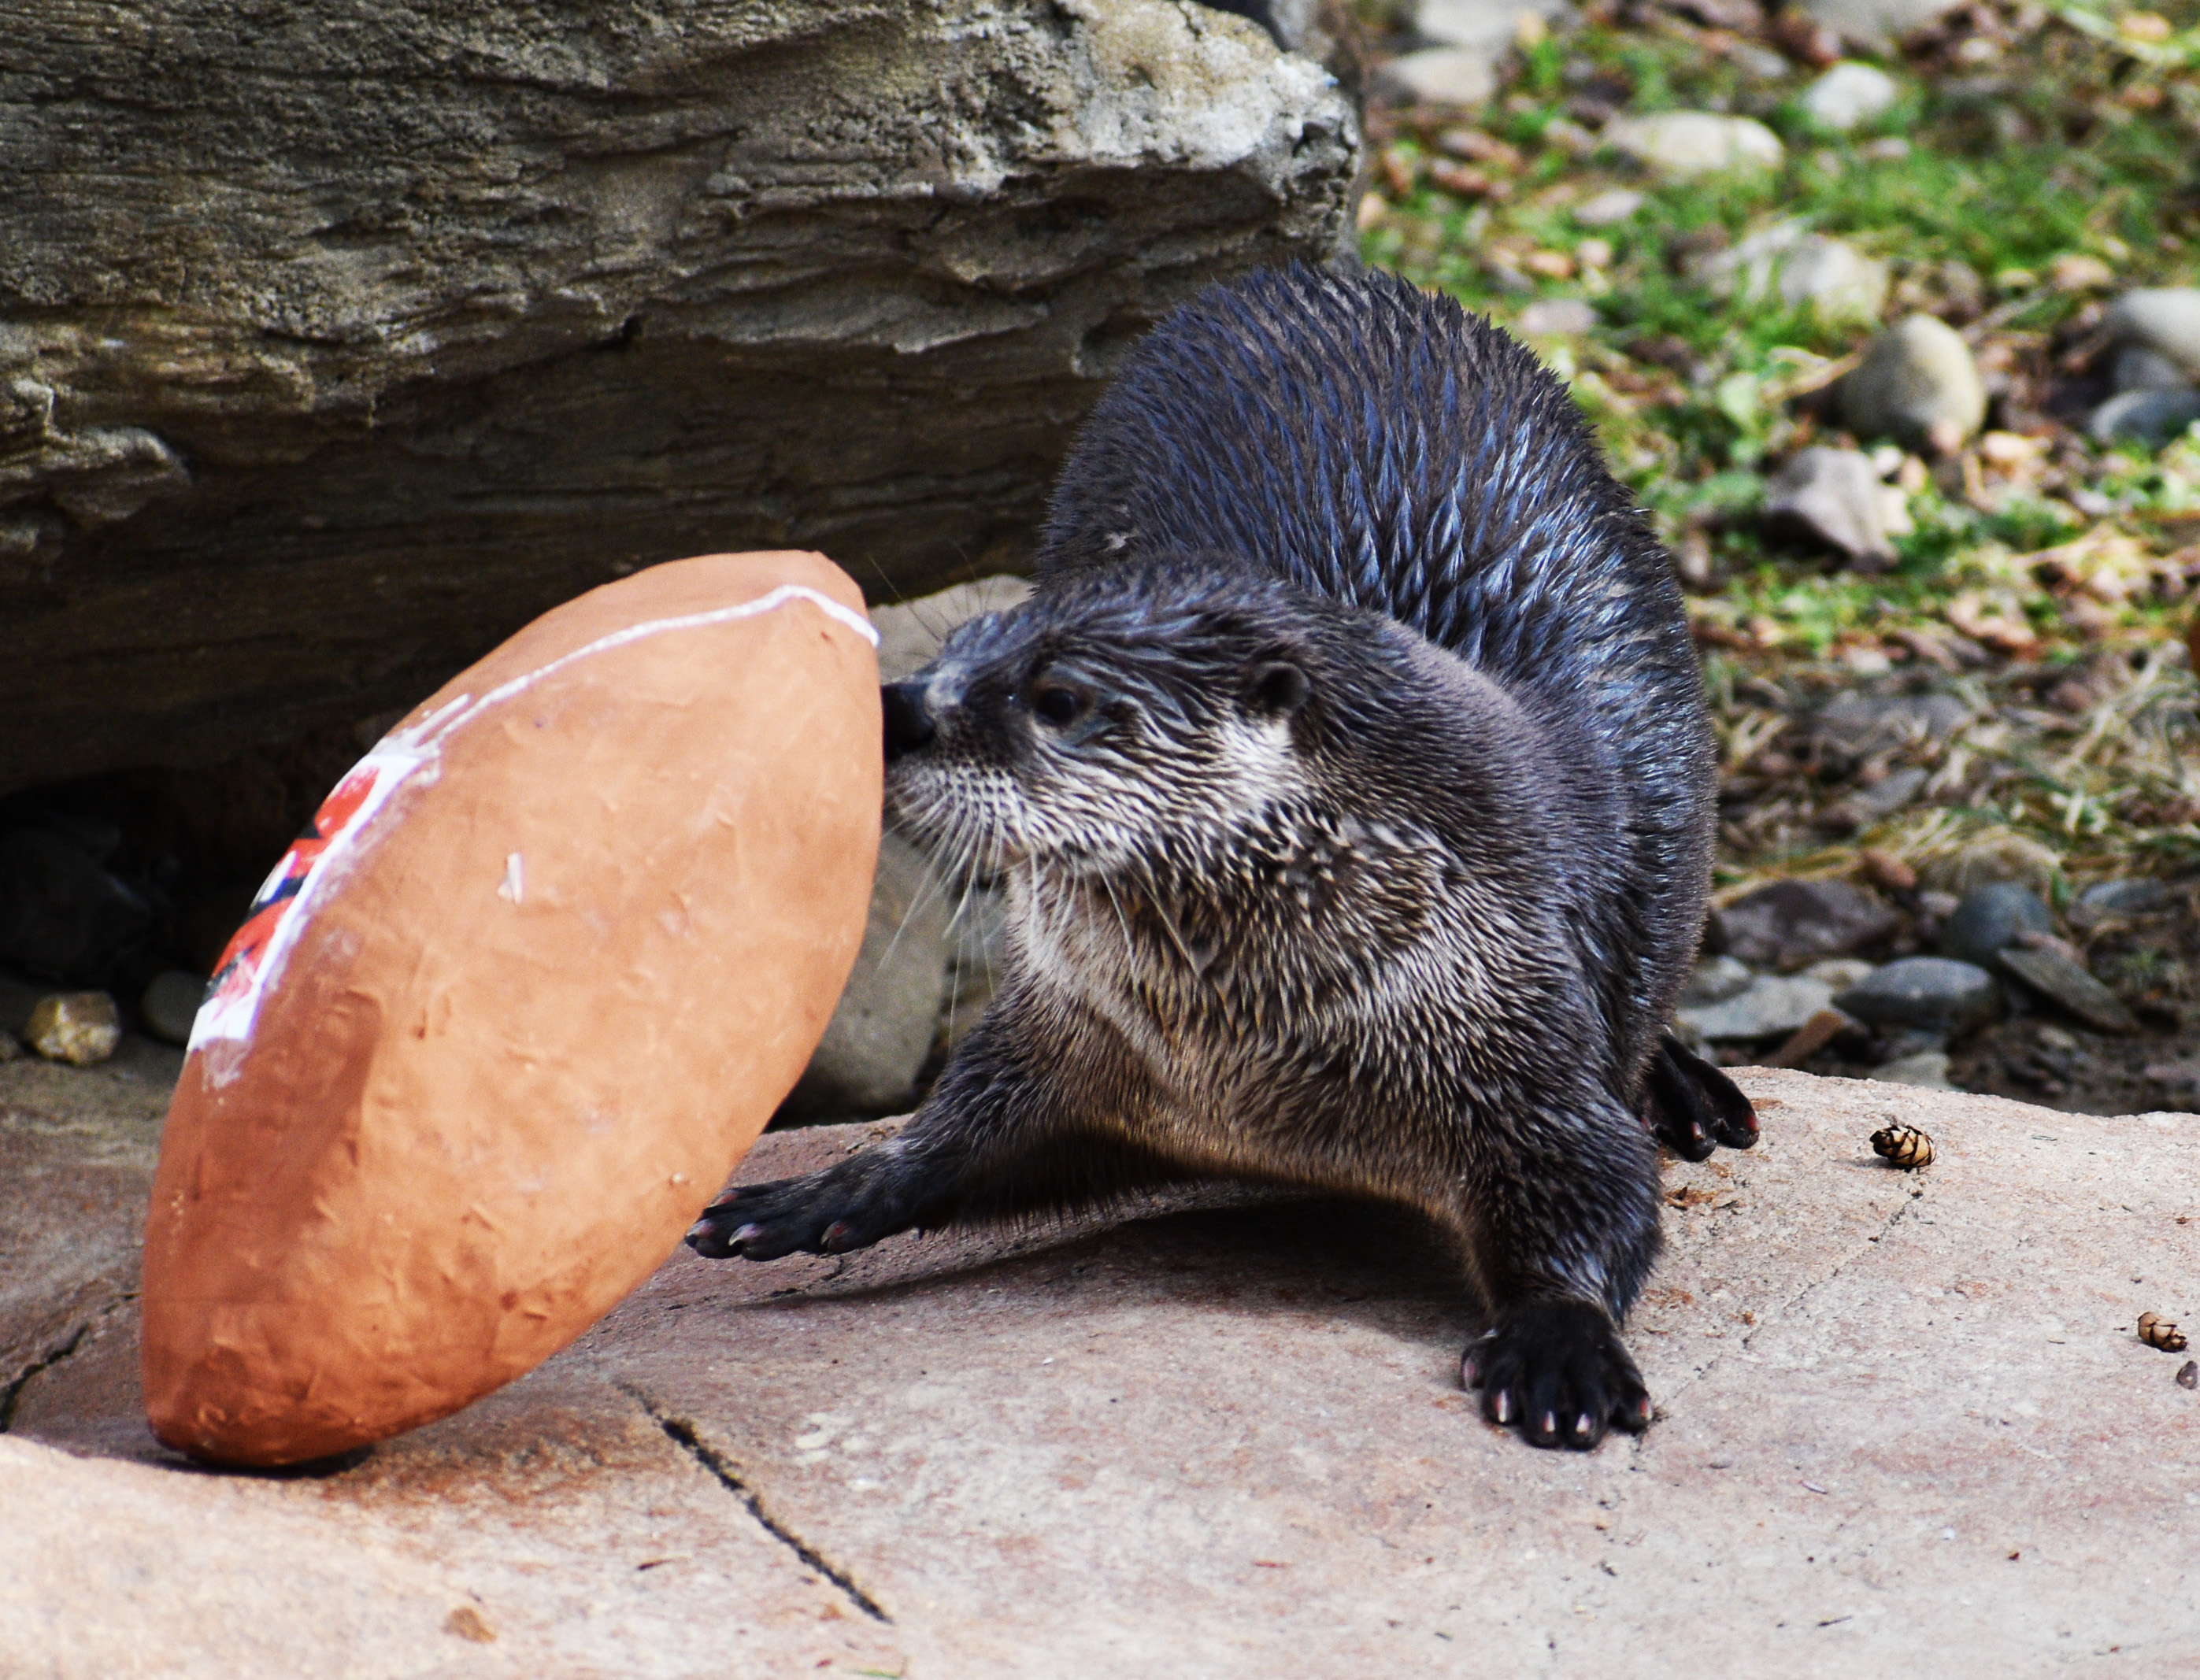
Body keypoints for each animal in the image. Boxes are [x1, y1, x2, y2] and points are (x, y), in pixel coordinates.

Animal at [687, 264, 1757, 1450]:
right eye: (949, 652)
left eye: (1058, 698)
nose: (895, 712)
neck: (1244, 1063)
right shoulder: (1060, 1027)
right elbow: (956, 1132)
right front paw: (818, 1192)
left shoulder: (1522, 1044)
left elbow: (1600, 1189)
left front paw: (1560, 1347)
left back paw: (1694, 1093)